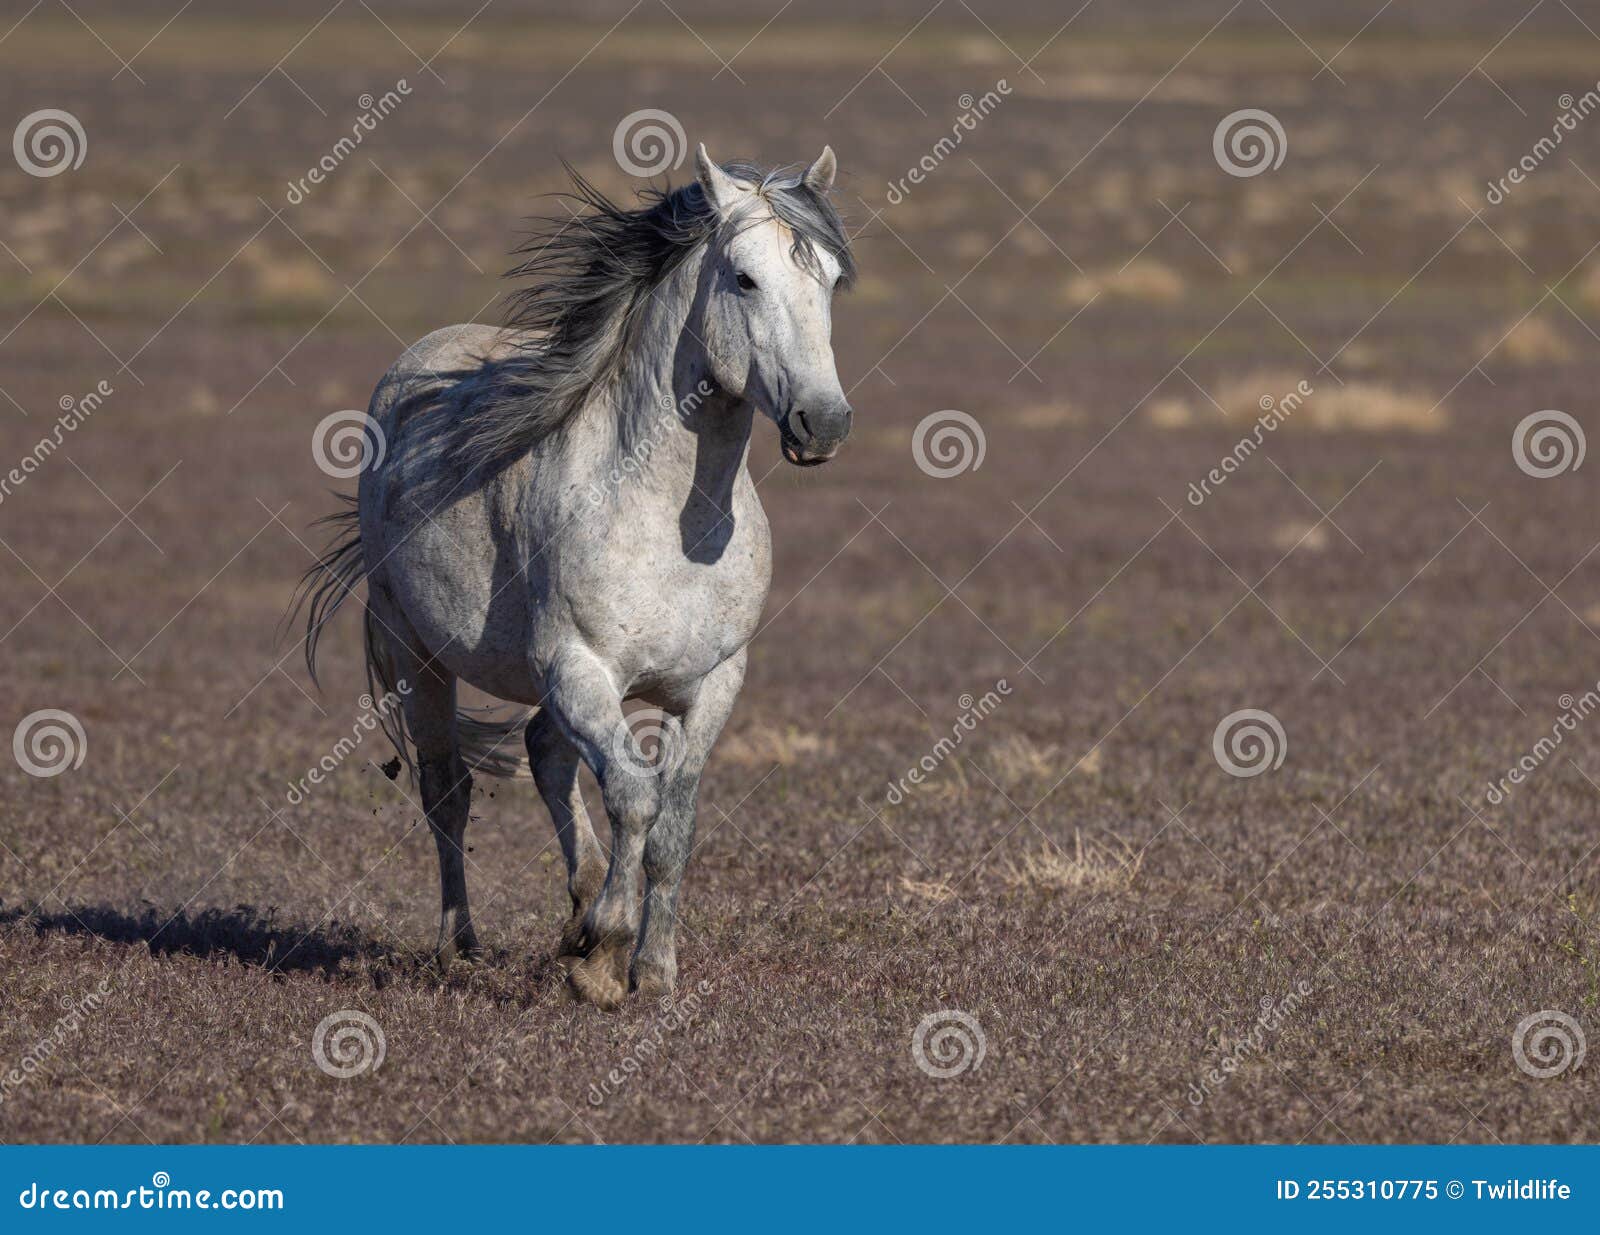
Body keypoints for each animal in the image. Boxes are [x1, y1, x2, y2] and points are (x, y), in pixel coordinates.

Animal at [295, 145, 857, 1009]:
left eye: (829, 278)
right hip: (421, 655)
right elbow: (633, 794)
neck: (669, 517)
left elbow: (672, 822)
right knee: (448, 790)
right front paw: (605, 954)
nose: (822, 422)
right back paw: (462, 946)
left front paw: (650, 966)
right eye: (744, 278)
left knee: (544, 755)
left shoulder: (713, 683)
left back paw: (578, 908)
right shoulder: (581, 668)